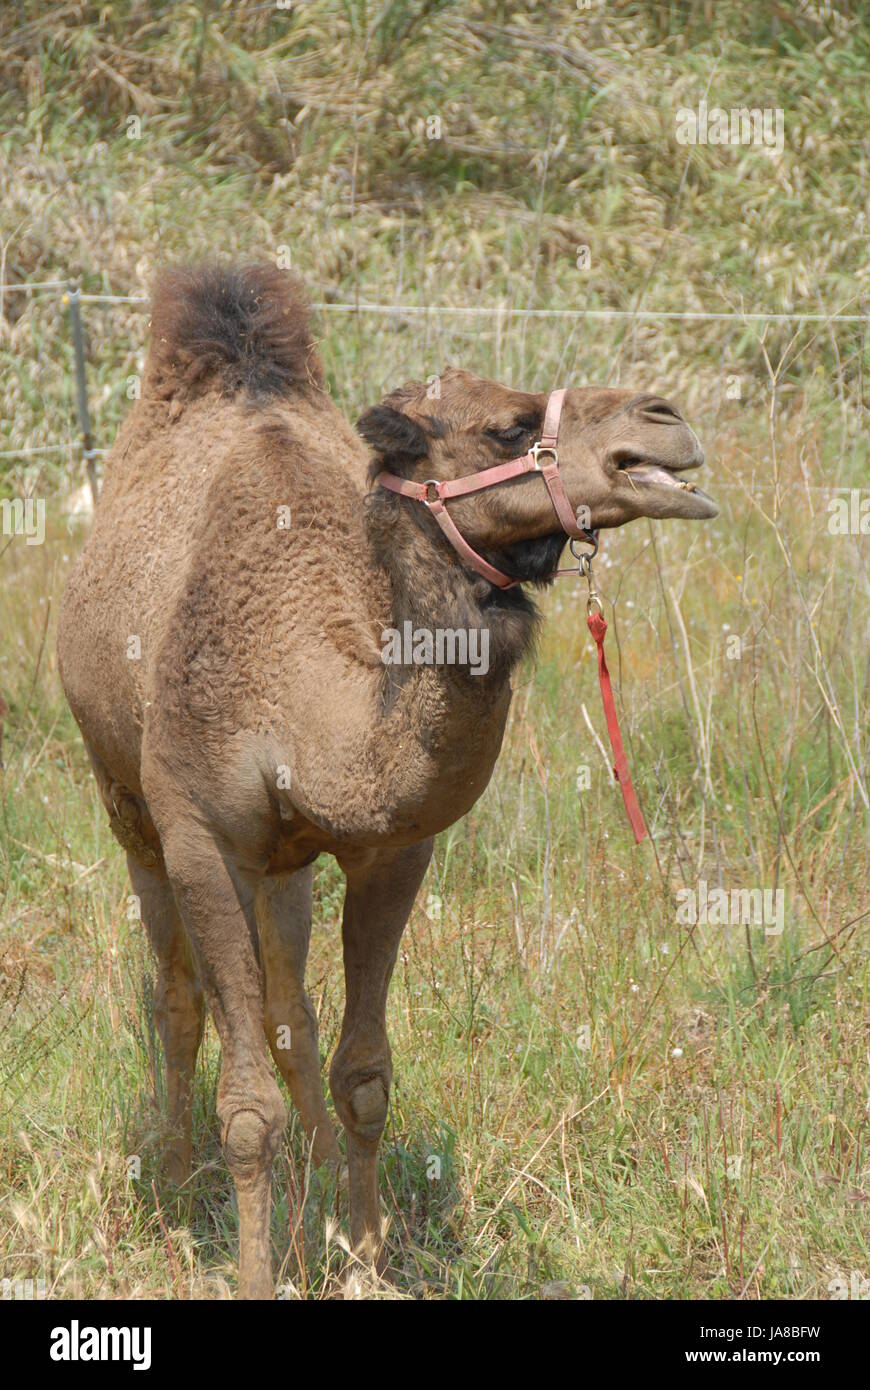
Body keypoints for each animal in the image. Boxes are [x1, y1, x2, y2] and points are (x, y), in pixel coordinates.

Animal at [56, 264, 717, 1298]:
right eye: (508, 425)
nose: (665, 420)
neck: (300, 688)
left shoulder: (393, 848)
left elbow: (362, 1073)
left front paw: (364, 1255)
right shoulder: (200, 833)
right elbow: (243, 1103)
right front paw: (256, 1272)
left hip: (281, 863)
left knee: (289, 1009)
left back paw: (318, 1189)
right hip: (126, 806)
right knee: (175, 995)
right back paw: (169, 1178)